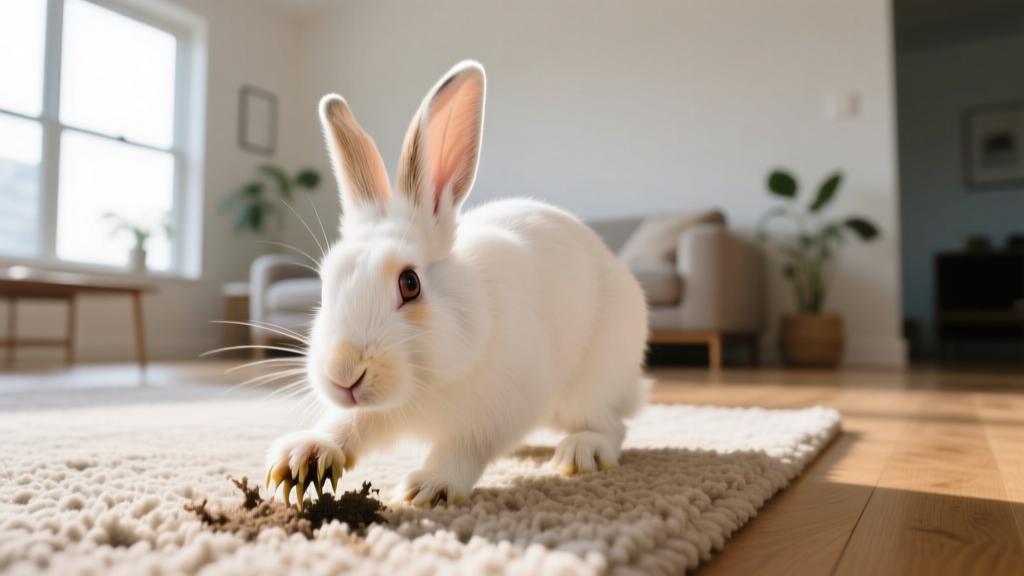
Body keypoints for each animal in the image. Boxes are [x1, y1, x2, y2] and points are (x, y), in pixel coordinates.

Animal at [265, 60, 649, 509]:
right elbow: (347, 425)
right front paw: (303, 457)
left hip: (592, 383)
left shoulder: (497, 409)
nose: (344, 375)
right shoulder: (372, 412)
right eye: (325, 286)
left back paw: (580, 450)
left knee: (612, 426)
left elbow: (464, 447)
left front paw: (430, 486)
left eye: (410, 283)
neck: (424, 385)